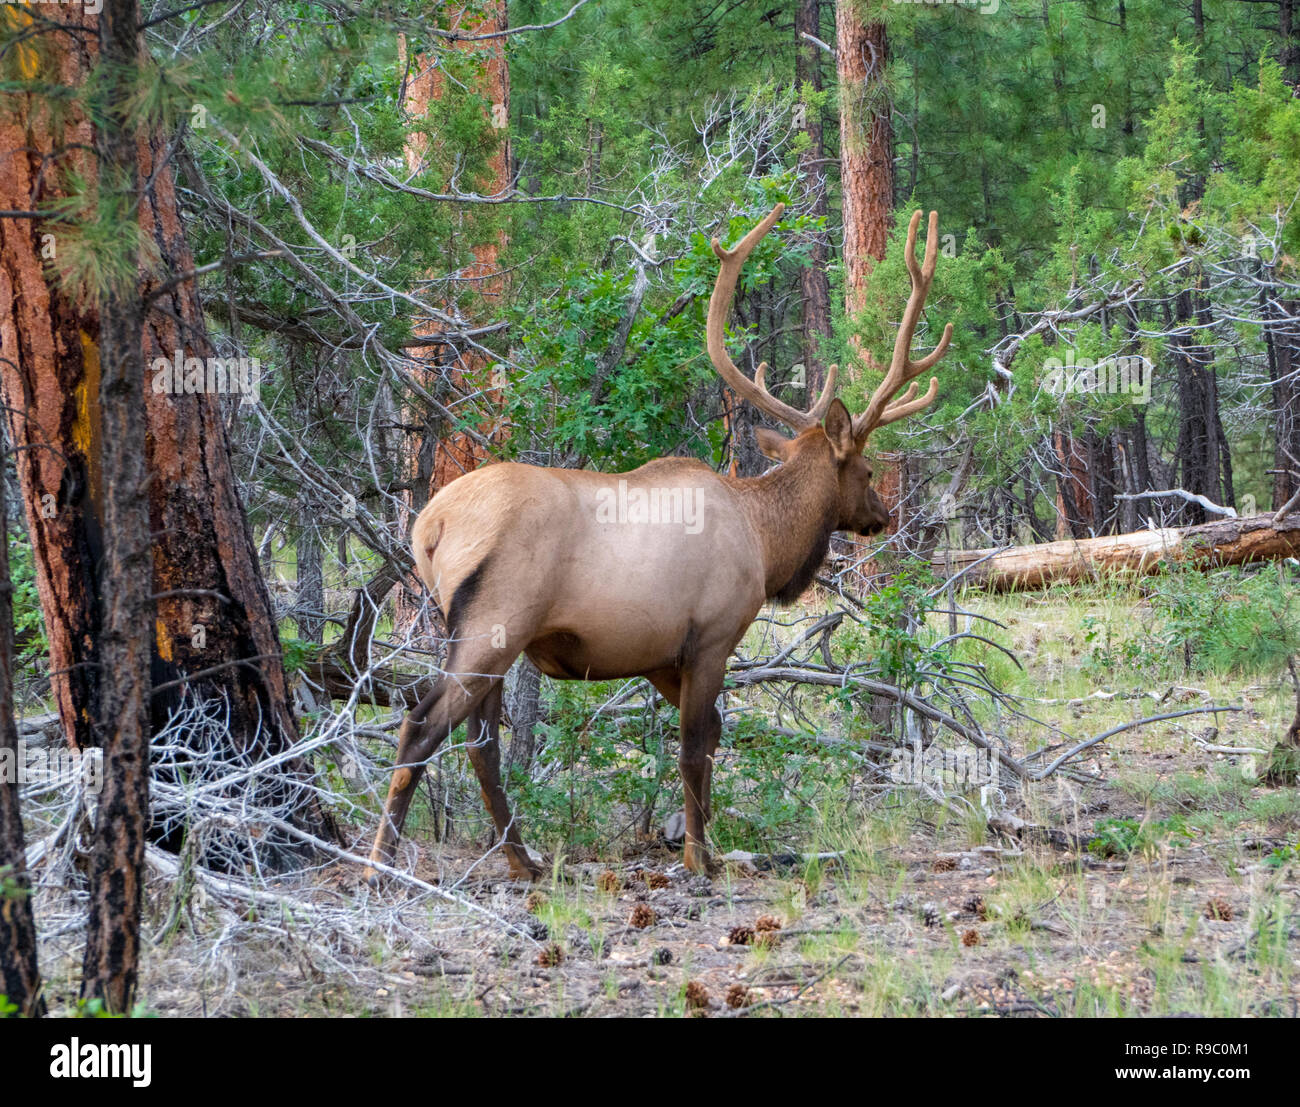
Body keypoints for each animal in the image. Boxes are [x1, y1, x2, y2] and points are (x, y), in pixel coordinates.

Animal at [364, 204, 952, 883]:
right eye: (866, 470)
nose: (882, 515)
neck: (766, 542)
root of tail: (427, 528)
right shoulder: (714, 633)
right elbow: (694, 747)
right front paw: (700, 855)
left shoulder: (658, 654)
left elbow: (713, 734)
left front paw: (701, 840)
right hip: (494, 622)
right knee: (421, 725)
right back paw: (379, 863)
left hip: (467, 628)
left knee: (481, 746)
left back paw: (523, 860)